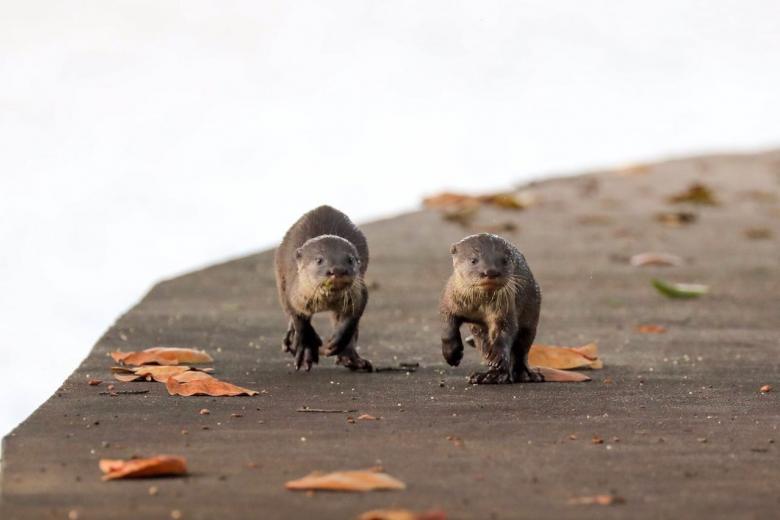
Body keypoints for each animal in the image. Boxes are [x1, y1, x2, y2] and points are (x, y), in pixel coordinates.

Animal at [274, 205, 372, 372]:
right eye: (319, 260)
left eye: (350, 259)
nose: (338, 270)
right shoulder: (292, 294)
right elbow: (299, 320)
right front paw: (306, 346)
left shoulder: (360, 293)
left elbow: (352, 319)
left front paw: (338, 342)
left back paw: (351, 358)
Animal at [440, 233, 542, 384]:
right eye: (473, 260)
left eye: (504, 260)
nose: (491, 271)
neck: (478, 308)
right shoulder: (450, 301)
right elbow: (447, 325)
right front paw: (452, 354)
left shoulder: (505, 310)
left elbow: (506, 330)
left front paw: (497, 355)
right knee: (484, 344)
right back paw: (486, 376)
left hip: (531, 315)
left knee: (521, 349)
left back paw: (522, 374)